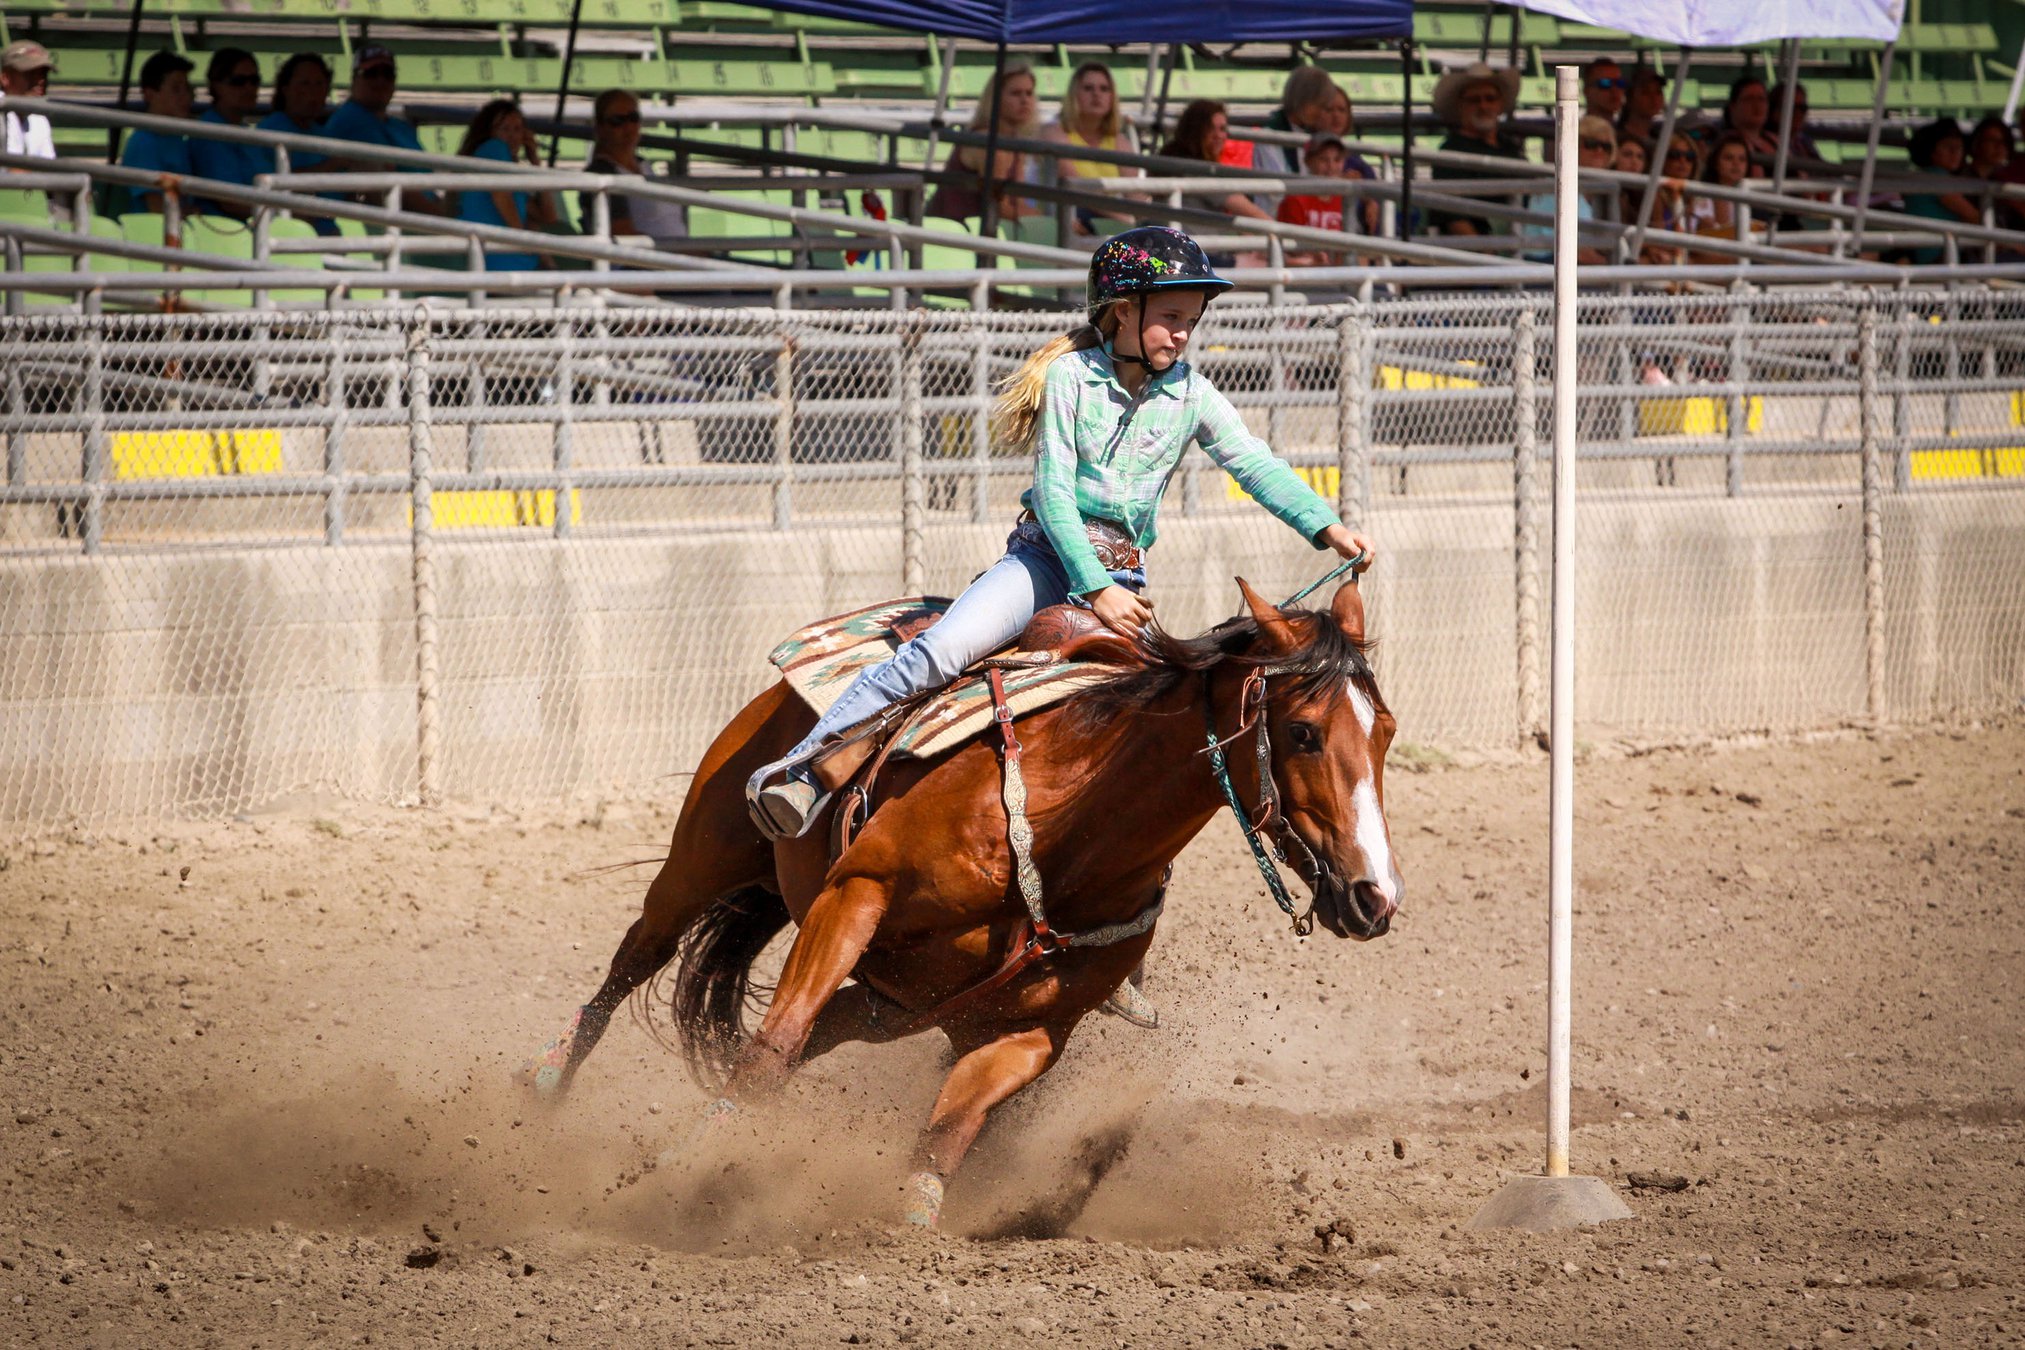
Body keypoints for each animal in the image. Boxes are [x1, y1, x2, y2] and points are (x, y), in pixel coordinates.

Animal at [526, 576, 1403, 1229]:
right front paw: (673, 1181)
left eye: (1385, 731)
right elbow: (769, 1052)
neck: (1070, 826)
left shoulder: (1025, 1034)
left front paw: (910, 1221)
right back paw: (546, 1082)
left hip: (896, 1005)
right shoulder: (853, 897)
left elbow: (945, 1135)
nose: (1374, 897)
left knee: (821, 1030)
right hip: (704, 858)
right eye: (1302, 732)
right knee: (638, 959)